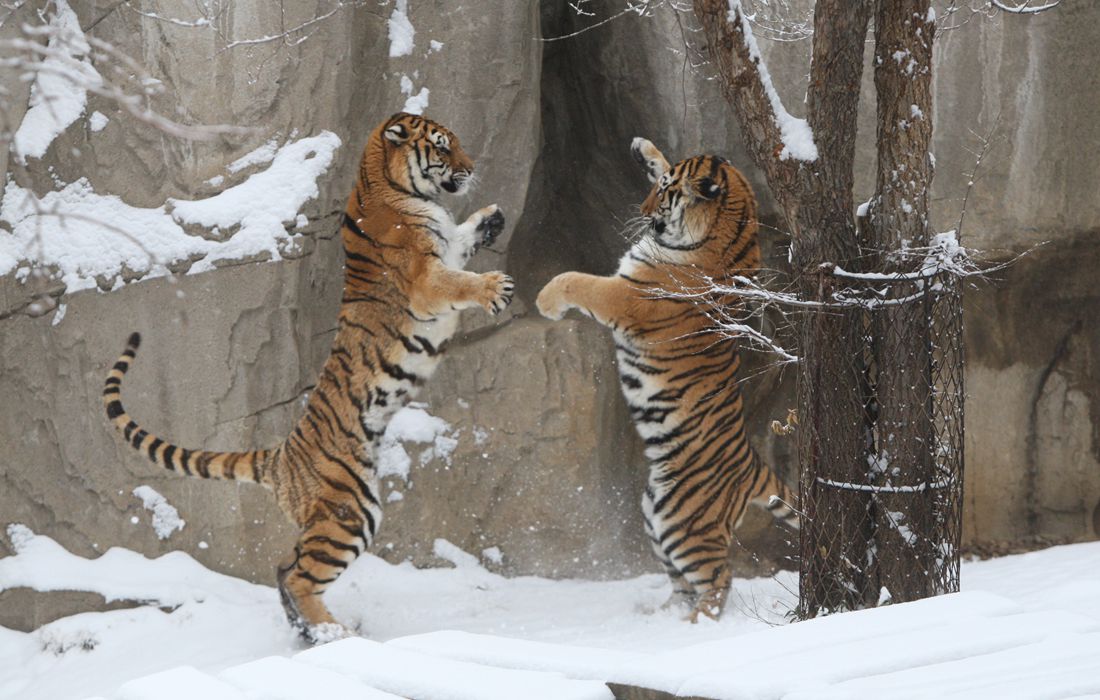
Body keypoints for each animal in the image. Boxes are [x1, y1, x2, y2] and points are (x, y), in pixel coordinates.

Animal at [103, 112, 513, 643]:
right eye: (444, 148)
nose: (472, 167)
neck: (386, 184)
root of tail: (280, 456)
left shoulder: (443, 250)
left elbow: (461, 240)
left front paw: (489, 218)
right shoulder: (426, 278)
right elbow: (458, 280)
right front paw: (495, 287)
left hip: (339, 516)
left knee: (283, 568)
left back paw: (309, 632)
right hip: (350, 513)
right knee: (299, 575)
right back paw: (335, 635)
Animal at [535, 138, 798, 622]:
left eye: (663, 194)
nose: (641, 210)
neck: (730, 233)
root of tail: (752, 465)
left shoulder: (627, 295)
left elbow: (577, 280)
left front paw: (546, 300)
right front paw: (645, 148)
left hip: (684, 526)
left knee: (717, 581)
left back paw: (694, 626)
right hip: (654, 517)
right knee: (683, 584)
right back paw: (662, 615)